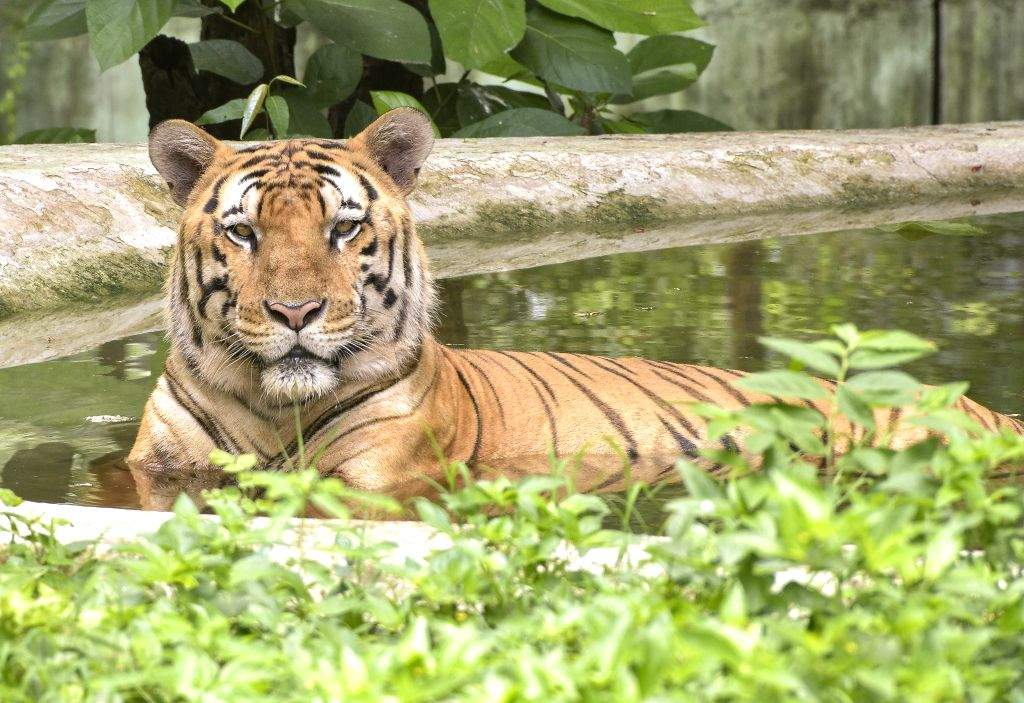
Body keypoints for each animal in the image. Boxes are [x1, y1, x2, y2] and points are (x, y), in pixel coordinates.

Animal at [128, 107, 1024, 512]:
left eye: (343, 228)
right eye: (243, 231)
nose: (295, 311)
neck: (274, 408)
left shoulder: (374, 480)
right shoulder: (157, 468)